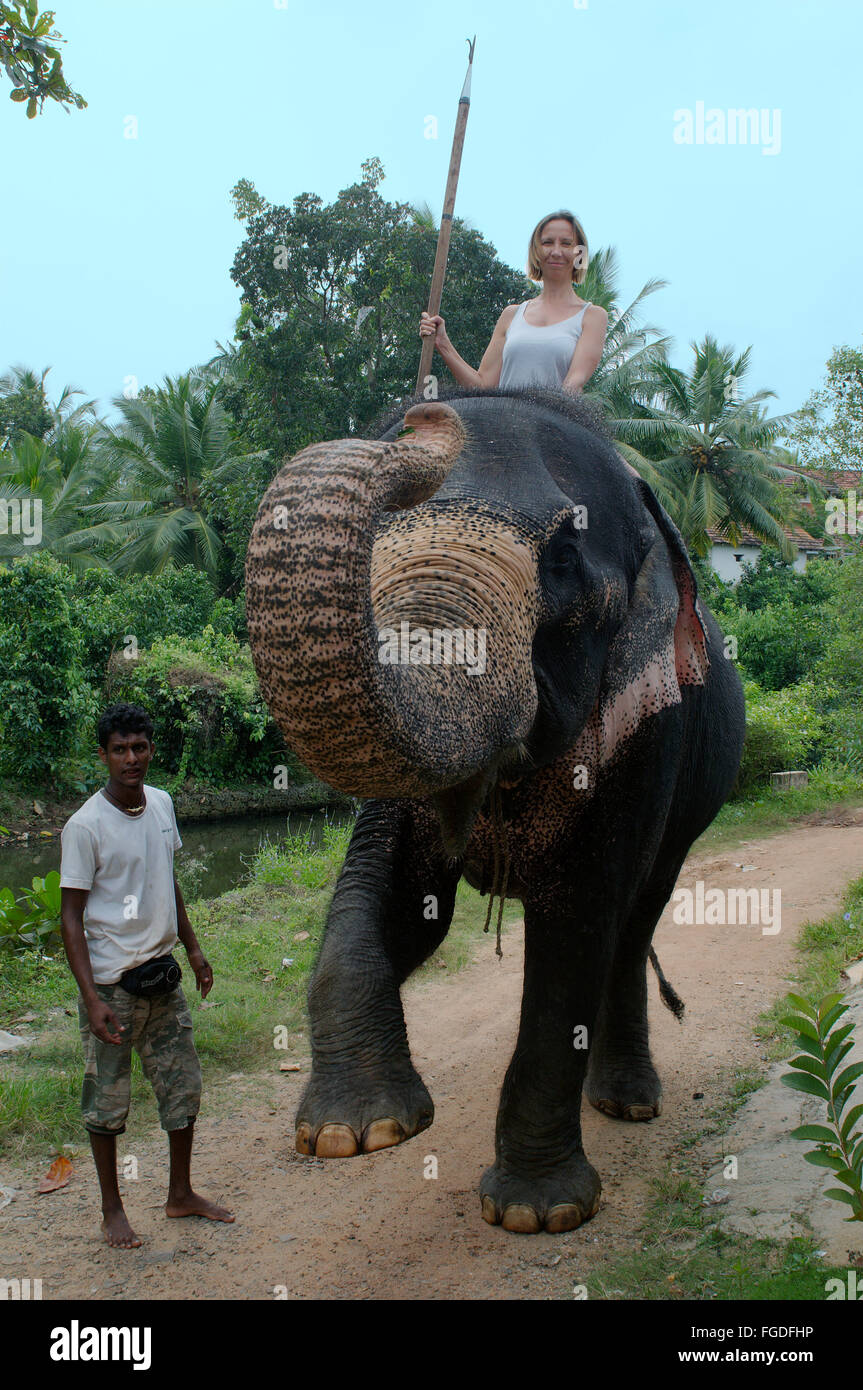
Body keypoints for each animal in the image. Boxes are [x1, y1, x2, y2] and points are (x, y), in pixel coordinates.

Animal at [245, 385, 746, 1235]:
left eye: (563, 559)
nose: (430, 419)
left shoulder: (648, 732)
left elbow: (575, 927)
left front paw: (537, 1212)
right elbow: (398, 904)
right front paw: (355, 1131)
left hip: (695, 801)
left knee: (635, 918)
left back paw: (625, 1103)